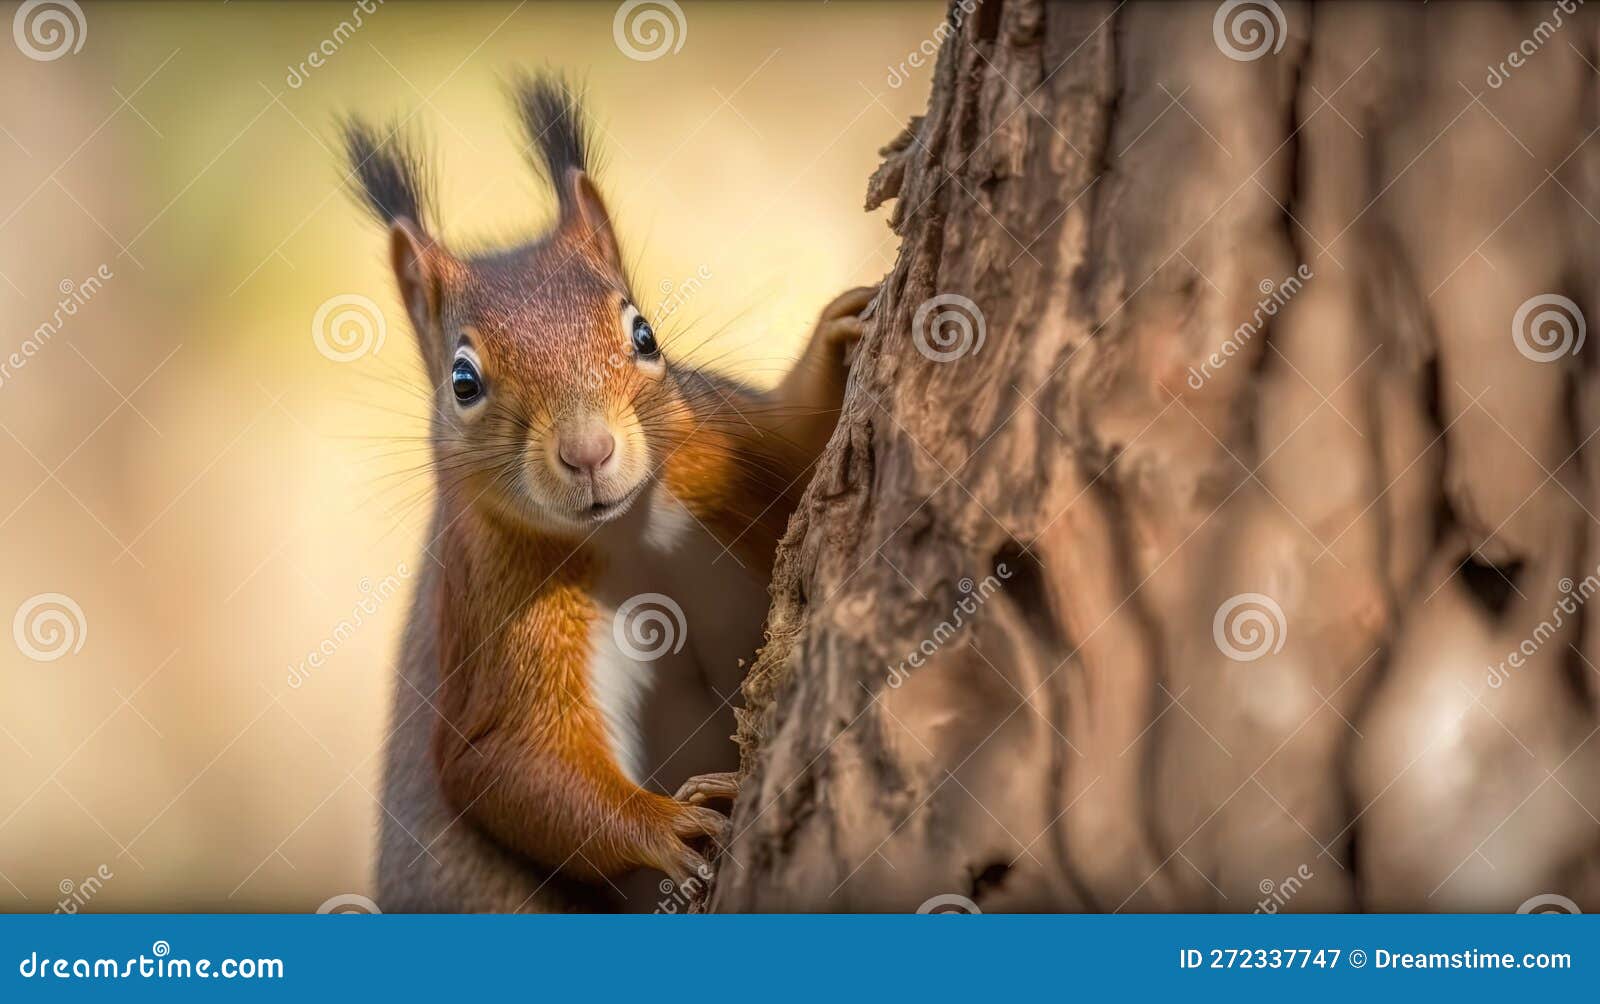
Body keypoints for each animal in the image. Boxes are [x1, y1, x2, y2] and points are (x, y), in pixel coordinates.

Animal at [343, 75, 874, 911]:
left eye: (645, 333)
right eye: (462, 380)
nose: (589, 452)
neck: (628, 529)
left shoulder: (716, 441)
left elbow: (796, 437)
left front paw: (836, 337)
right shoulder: (498, 605)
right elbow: (513, 762)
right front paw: (667, 826)